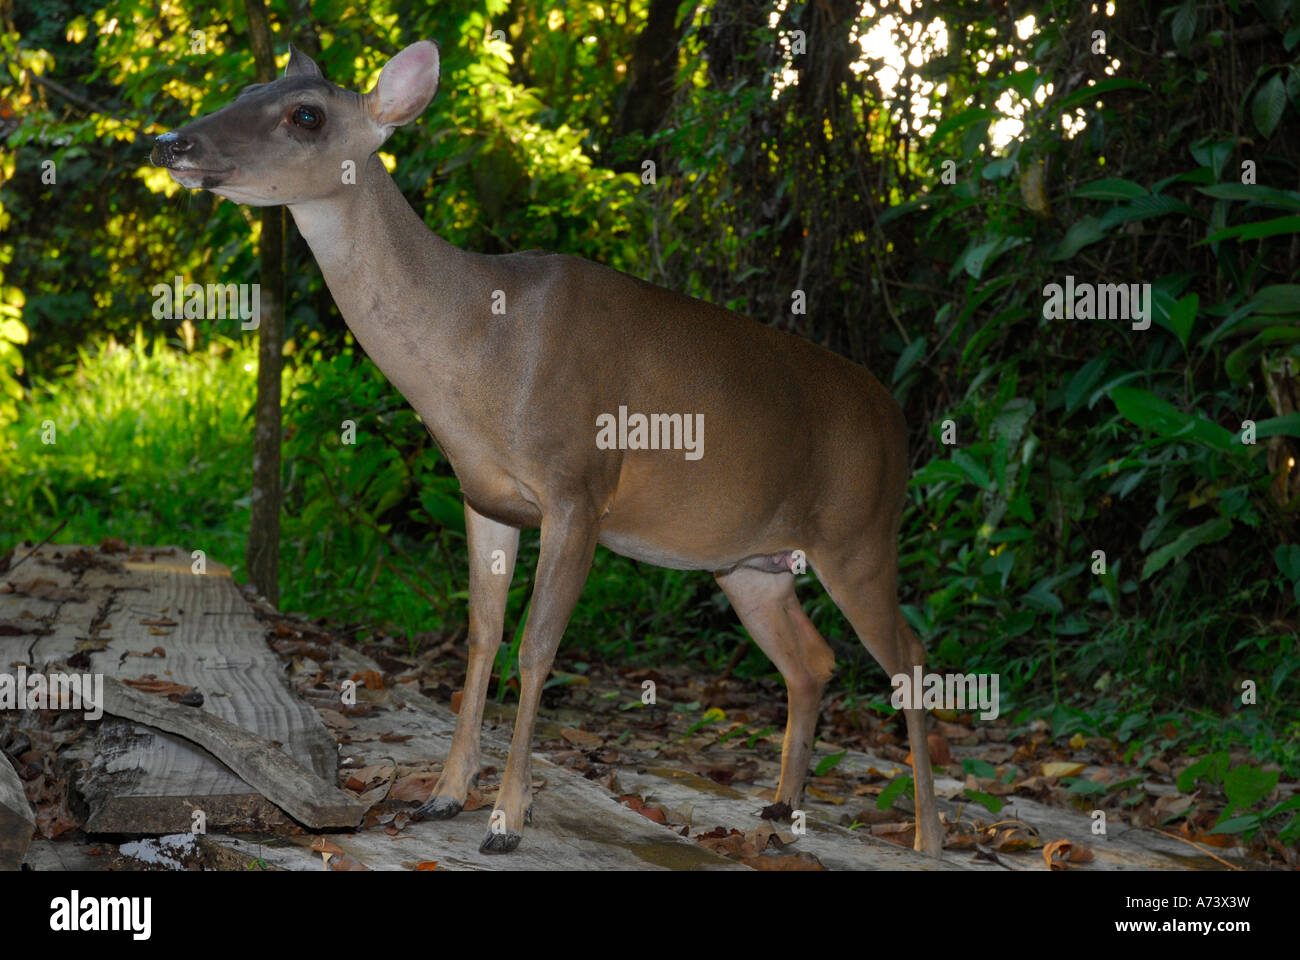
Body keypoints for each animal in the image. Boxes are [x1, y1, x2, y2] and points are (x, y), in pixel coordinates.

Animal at [151, 39, 944, 857]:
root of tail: (895, 417)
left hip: (859, 533)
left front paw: (505, 818)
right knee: (812, 662)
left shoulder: (577, 489)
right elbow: (480, 638)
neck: (480, 349)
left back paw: (927, 834)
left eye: (306, 116)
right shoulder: (486, 499)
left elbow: (536, 650)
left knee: (910, 658)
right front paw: (444, 795)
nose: (170, 143)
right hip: (750, 565)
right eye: (250, 86)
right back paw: (783, 806)